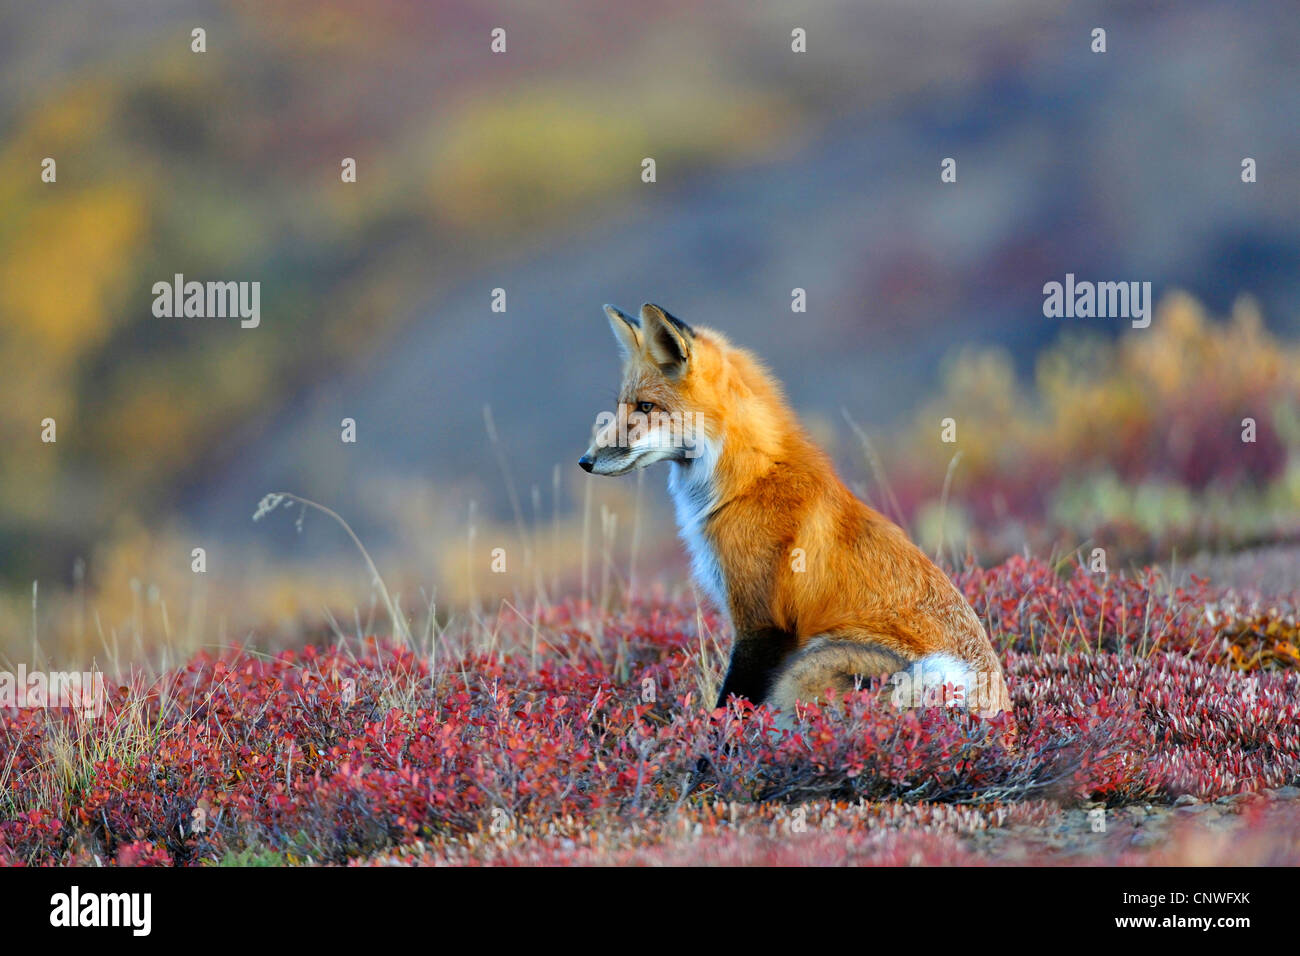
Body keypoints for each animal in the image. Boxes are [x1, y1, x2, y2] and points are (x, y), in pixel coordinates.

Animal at [579, 302, 1012, 723]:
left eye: (645, 407)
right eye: (620, 406)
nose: (585, 461)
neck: (748, 482)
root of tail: (994, 715)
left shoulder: (762, 624)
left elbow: (728, 705)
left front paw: (710, 743)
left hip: (806, 670)